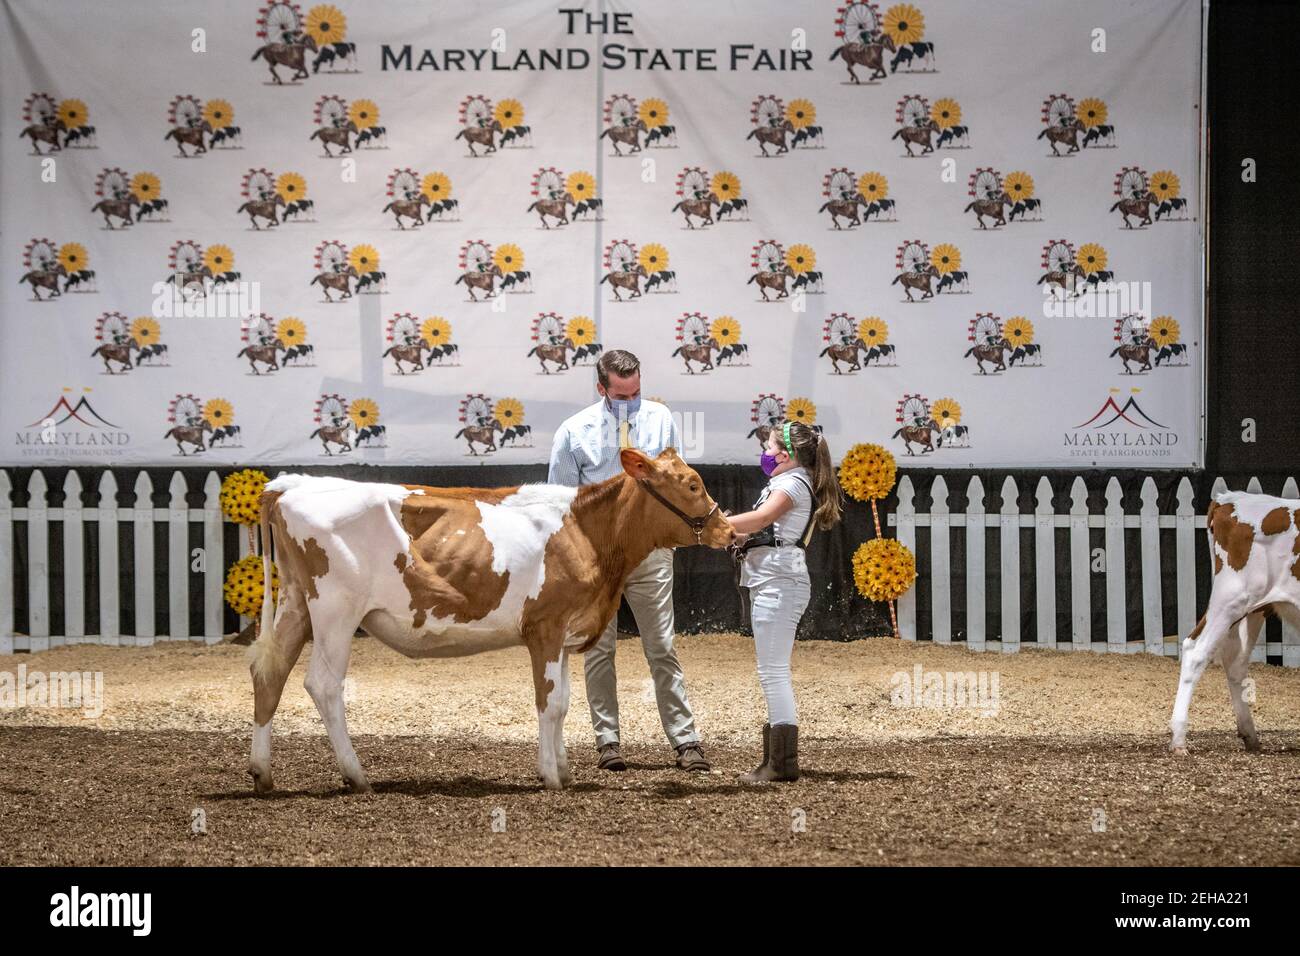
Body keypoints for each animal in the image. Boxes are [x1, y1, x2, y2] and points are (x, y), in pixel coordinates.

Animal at [248, 448, 735, 793]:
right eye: (693, 484)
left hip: (296, 606)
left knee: (269, 673)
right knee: (324, 685)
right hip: (336, 611)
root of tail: (291, 485)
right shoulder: (545, 626)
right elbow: (549, 703)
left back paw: (261, 773)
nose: (729, 530)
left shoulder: (560, 633)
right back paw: (356, 775)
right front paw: (551, 776)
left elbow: (564, 702)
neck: (585, 531)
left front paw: (563, 770)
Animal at [1169, 493, 1300, 755]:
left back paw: (1250, 735)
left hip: (1254, 607)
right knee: (1196, 651)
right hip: (1231, 599)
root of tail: (1228, 499)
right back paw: (1179, 739)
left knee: (1235, 659)